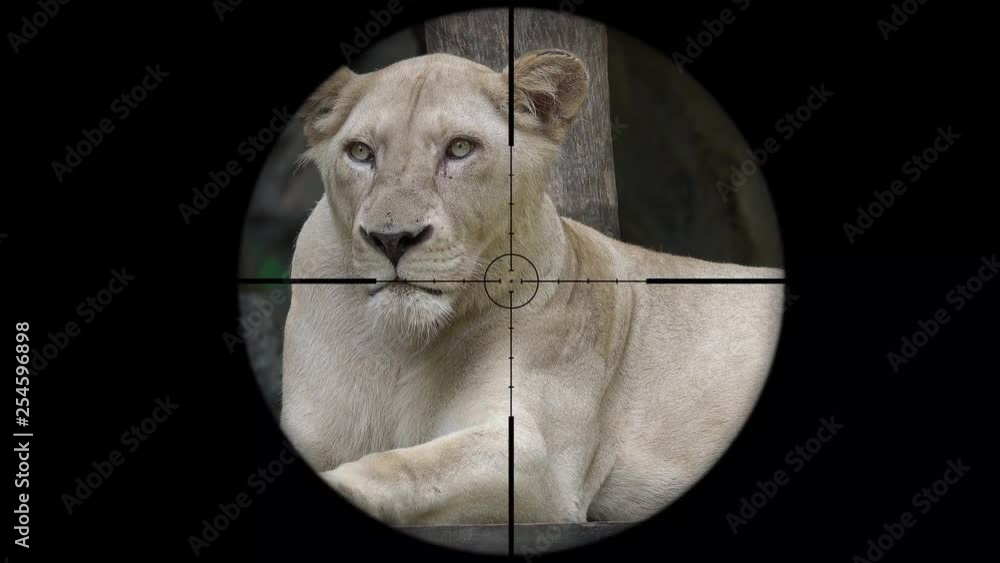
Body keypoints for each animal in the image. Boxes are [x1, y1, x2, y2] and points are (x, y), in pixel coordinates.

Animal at [280, 49, 783, 526]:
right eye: (360, 152)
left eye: (460, 148)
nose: (392, 239)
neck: (405, 345)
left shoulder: (542, 465)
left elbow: (411, 466)